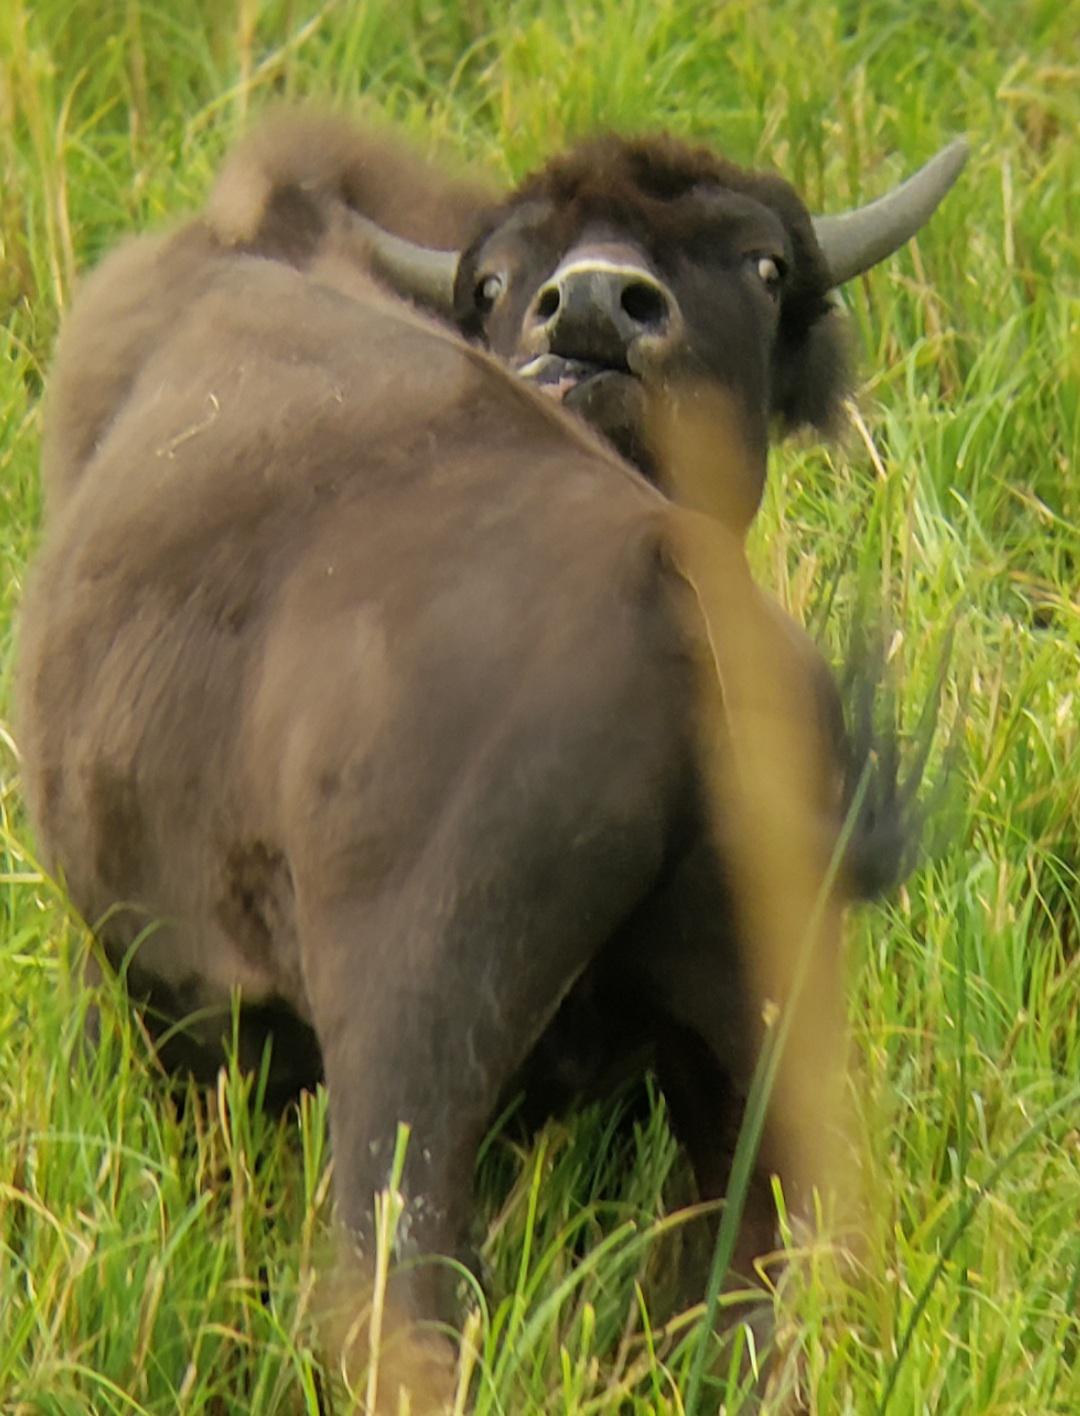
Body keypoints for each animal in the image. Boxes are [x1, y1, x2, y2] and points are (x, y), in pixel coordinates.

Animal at [17, 111, 963, 1386]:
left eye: (767, 267)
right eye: (501, 281)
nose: (598, 307)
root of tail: (670, 586)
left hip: (416, 1038)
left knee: (402, 1290)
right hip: (755, 1038)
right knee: (745, 1291)